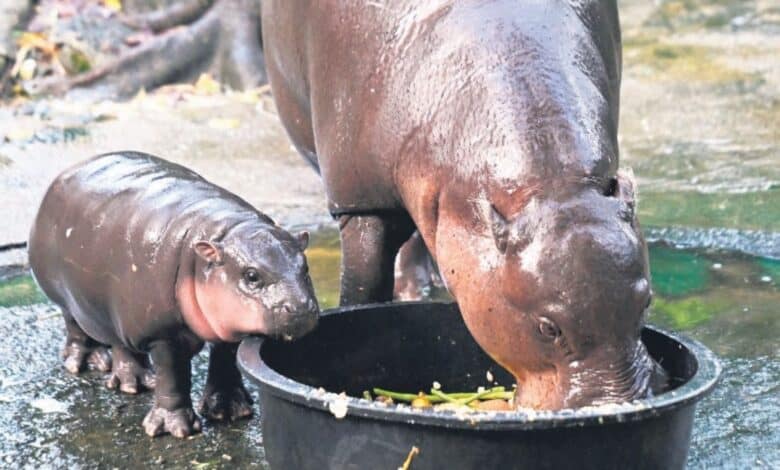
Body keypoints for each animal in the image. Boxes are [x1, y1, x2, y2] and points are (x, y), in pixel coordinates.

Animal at [28, 151, 319, 437]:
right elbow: (173, 377)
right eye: (251, 275)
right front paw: (175, 428)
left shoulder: (226, 323)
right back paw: (90, 363)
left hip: (115, 304)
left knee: (120, 340)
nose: (301, 307)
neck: (224, 232)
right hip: (66, 297)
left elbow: (224, 359)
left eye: (305, 267)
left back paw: (134, 383)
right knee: (75, 325)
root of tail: (71, 169)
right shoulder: (163, 334)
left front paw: (230, 410)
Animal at [261, 0, 665, 409]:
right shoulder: (361, 202)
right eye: (548, 328)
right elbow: (362, 286)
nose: (616, 401)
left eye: (646, 302)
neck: (552, 188)